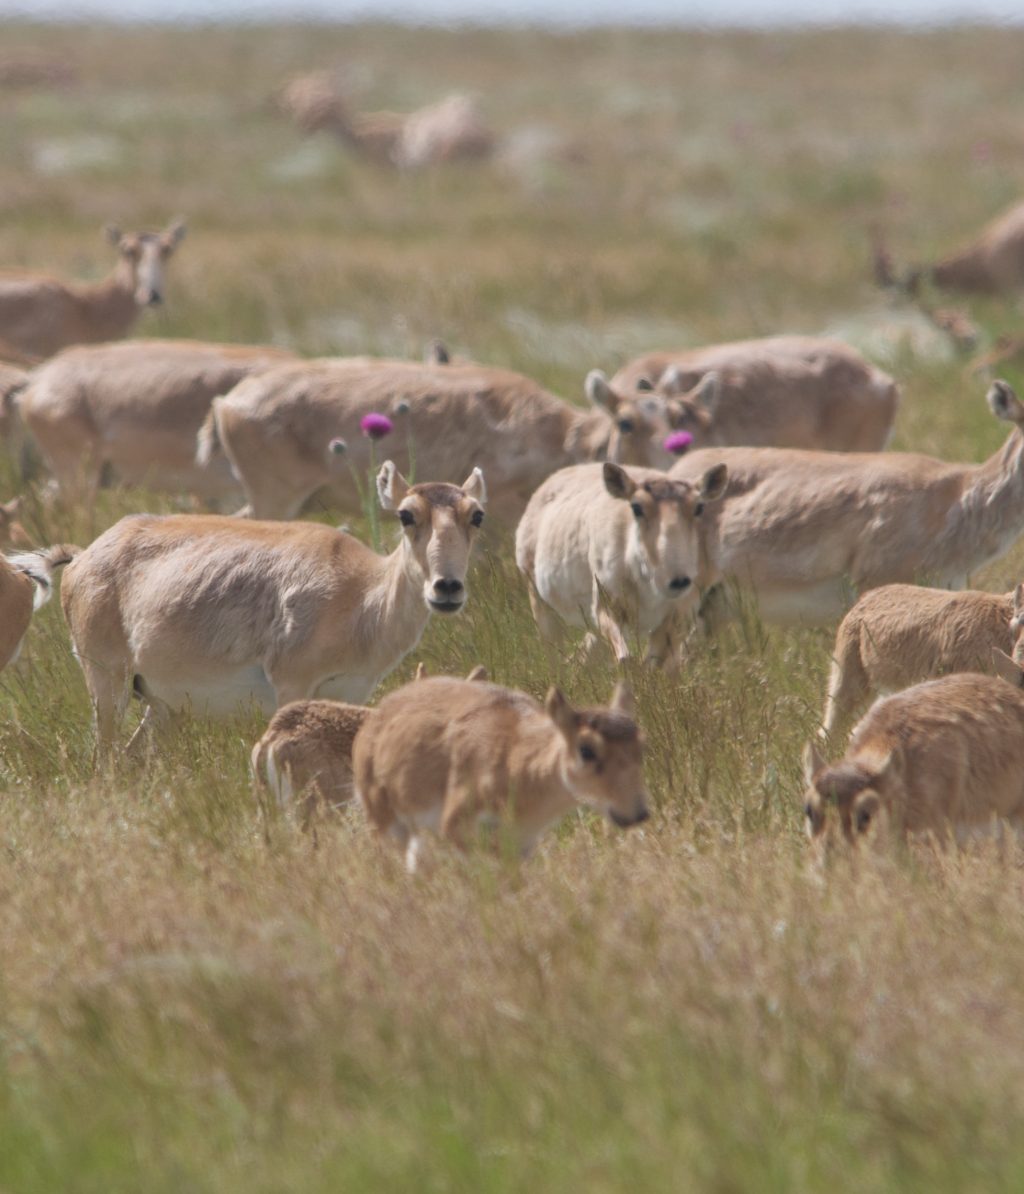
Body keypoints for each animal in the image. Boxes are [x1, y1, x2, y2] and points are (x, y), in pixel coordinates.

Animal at [61, 462, 486, 753]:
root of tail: (81, 560)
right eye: (405, 514)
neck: (362, 595)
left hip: (162, 705)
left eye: (477, 514)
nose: (447, 588)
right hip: (107, 681)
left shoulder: (352, 692)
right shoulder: (292, 684)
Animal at [353, 677, 648, 872]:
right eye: (586, 749)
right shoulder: (458, 830)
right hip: (384, 824)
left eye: (642, 744)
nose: (637, 813)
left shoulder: (521, 846)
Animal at [515, 461, 727, 664]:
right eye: (636, 507)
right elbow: (626, 660)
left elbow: (655, 664)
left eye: (699, 507)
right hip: (538, 598)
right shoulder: (605, 603)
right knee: (553, 655)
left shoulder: (681, 613)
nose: (678, 581)